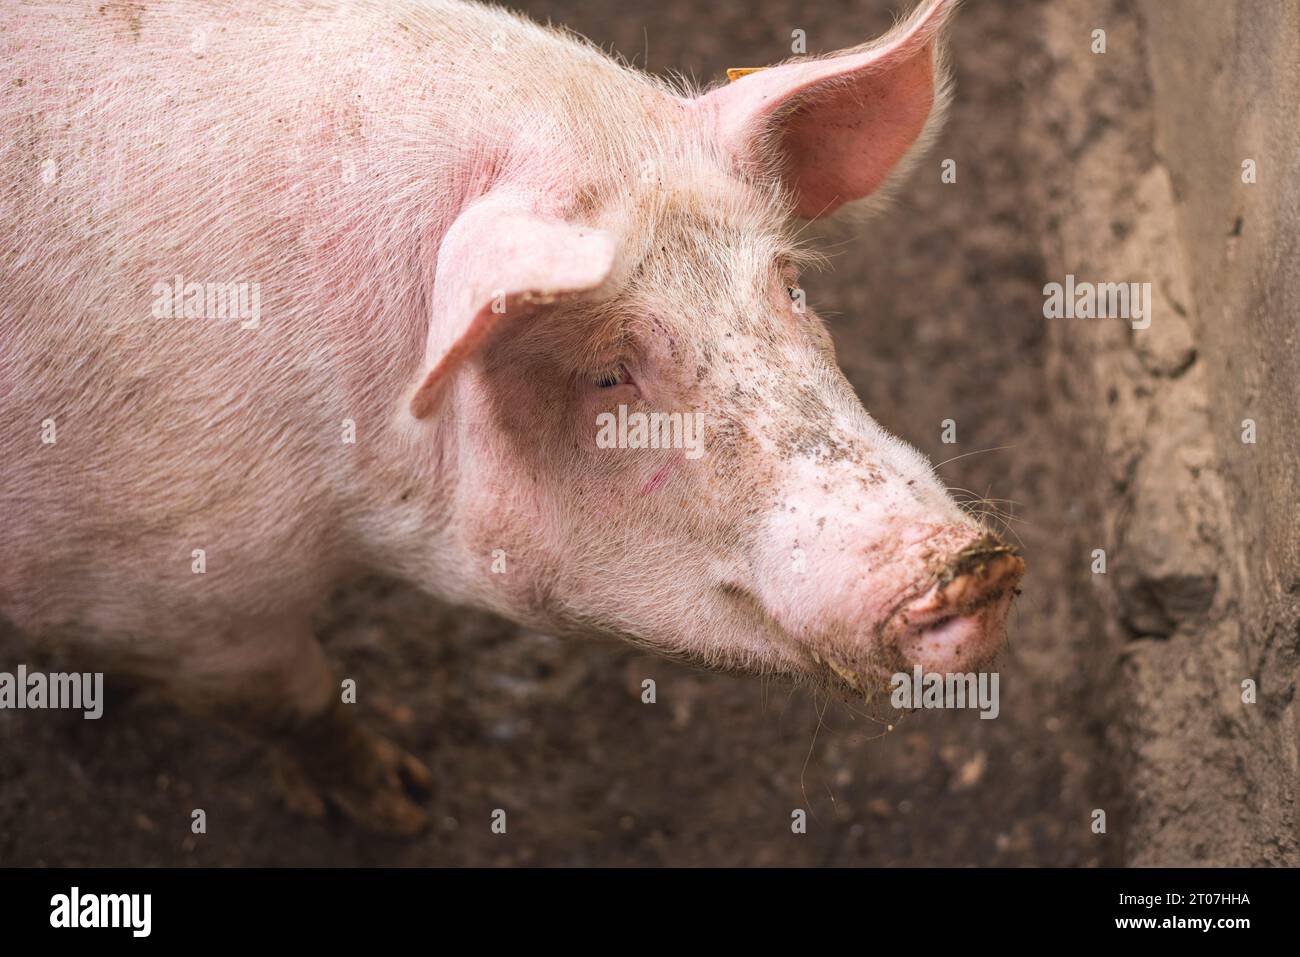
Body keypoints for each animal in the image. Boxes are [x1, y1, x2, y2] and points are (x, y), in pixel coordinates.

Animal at [0, 0, 1022, 834]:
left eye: (792, 288)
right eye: (608, 372)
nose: (971, 562)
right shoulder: (179, 601)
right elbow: (294, 705)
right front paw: (406, 803)